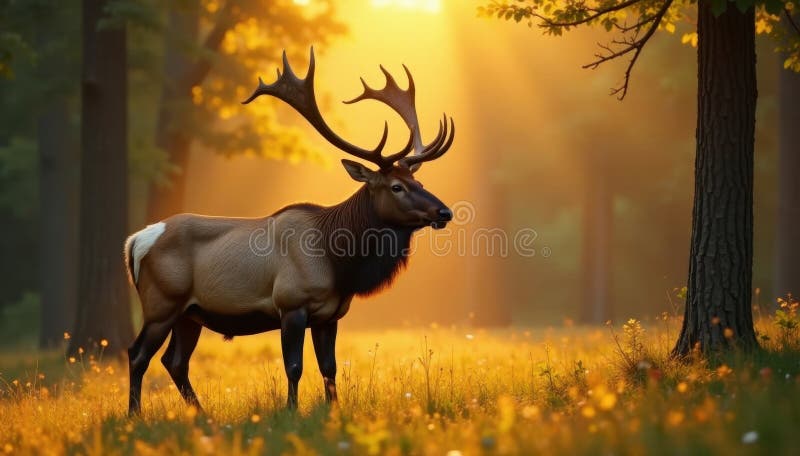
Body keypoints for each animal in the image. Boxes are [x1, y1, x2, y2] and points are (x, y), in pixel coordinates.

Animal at [123, 48, 455, 416]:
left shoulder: (330, 315)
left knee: (175, 360)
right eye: (397, 187)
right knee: (138, 354)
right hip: (162, 302)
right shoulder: (291, 303)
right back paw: (135, 415)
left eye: (419, 182)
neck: (339, 265)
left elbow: (329, 367)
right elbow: (294, 366)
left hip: (190, 313)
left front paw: (333, 410)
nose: (445, 212)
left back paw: (201, 415)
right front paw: (291, 412)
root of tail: (136, 240)